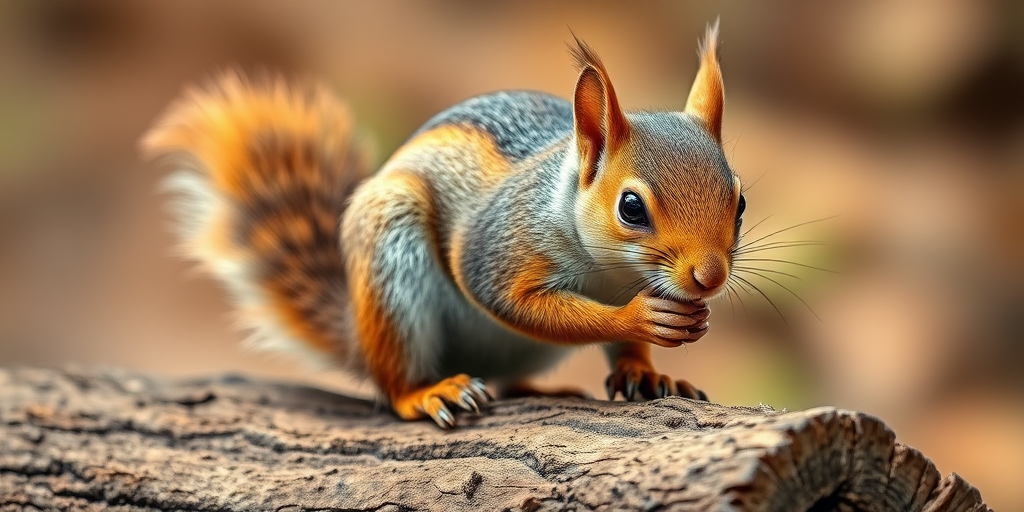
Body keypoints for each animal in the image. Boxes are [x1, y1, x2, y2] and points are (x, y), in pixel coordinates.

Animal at [143, 22, 744, 429]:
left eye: (739, 201)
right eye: (631, 208)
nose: (710, 277)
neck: (613, 273)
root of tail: (359, 336)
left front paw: (647, 371)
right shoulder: (498, 243)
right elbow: (511, 299)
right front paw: (640, 319)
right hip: (390, 261)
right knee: (395, 384)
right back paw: (428, 393)